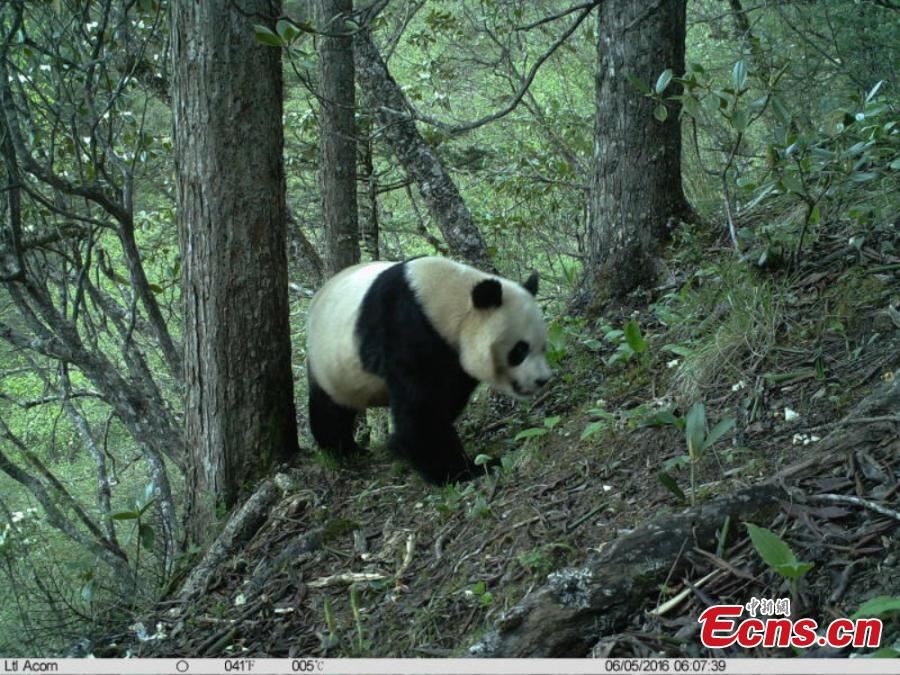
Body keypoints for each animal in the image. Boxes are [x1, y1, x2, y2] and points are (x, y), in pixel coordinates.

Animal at [306, 256, 551, 485]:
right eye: (520, 350)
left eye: (543, 346)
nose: (542, 380)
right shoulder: (403, 329)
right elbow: (422, 407)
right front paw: (462, 471)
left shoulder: (453, 357)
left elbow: (449, 395)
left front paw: (399, 446)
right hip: (328, 362)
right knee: (329, 407)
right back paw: (341, 449)